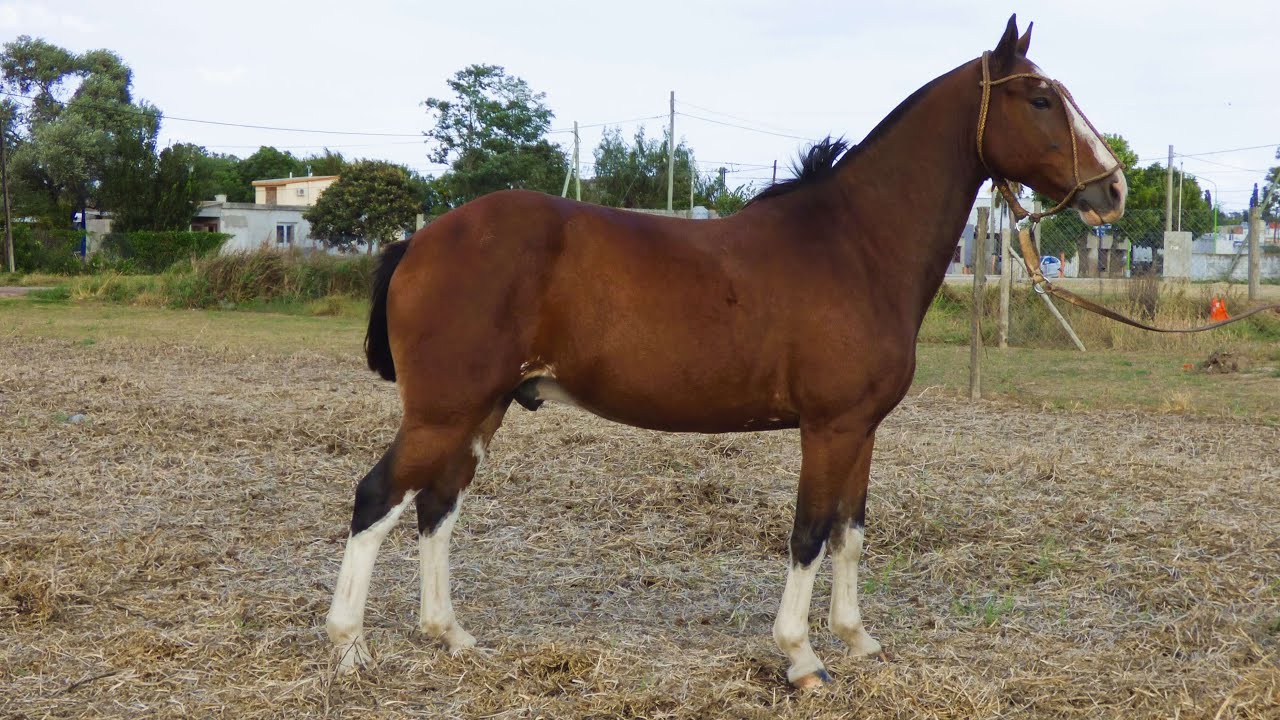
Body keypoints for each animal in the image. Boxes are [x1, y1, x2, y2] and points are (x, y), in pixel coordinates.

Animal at [324, 15, 1126, 689]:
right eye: (1039, 98)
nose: (1112, 188)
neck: (855, 244)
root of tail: (421, 238)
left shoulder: (862, 429)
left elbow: (851, 533)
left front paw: (858, 640)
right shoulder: (828, 428)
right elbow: (809, 533)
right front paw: (802, 658)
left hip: (481, 411)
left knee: (437, 505)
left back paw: (450, 635)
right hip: (443, 412)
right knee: (377, 498)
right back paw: (350, 648)